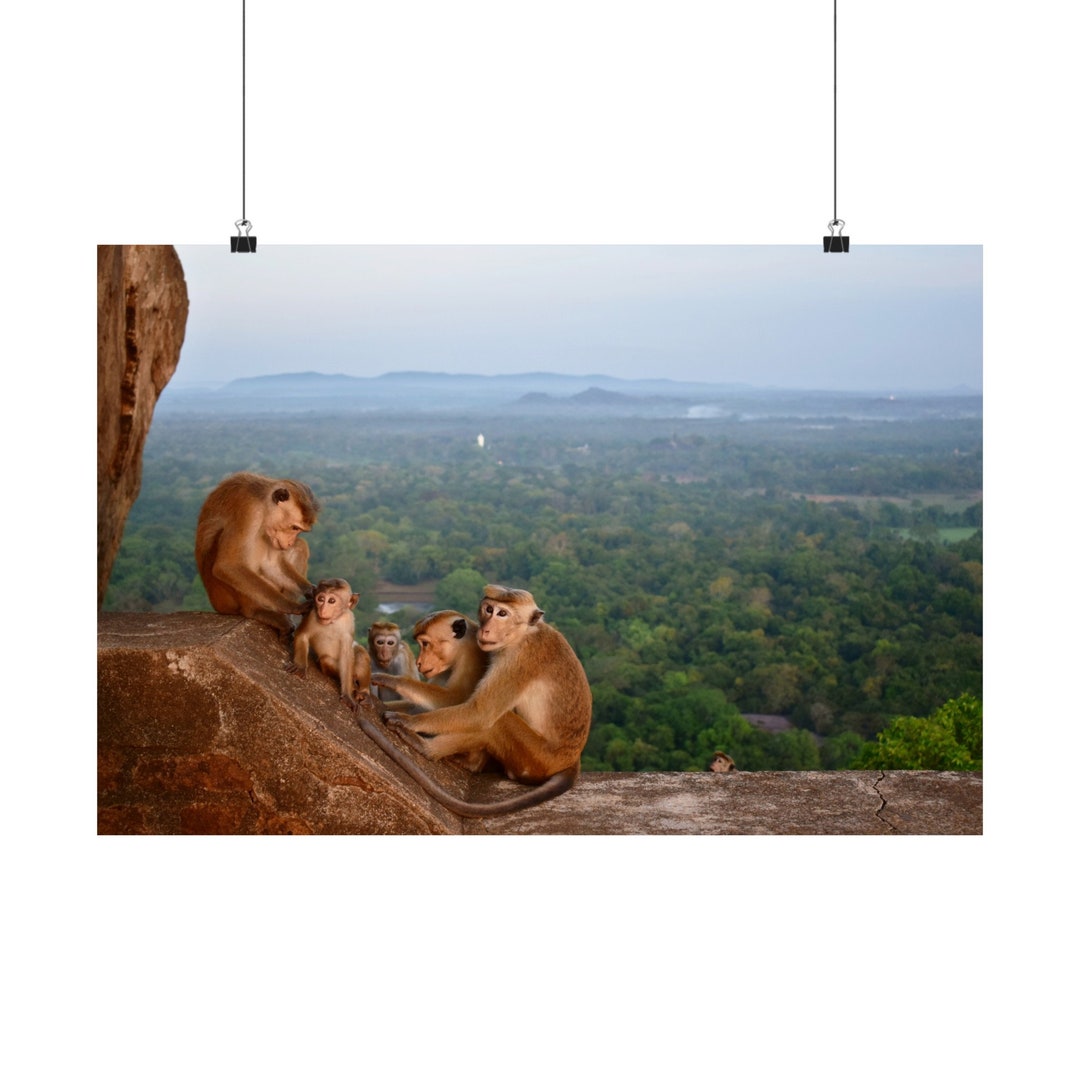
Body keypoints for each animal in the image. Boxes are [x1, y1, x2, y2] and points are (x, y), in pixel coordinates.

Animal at [195, 472, 320, 635]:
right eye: (294, 527)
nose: (290, 542)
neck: (262, 501)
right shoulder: (249, 510)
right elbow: (228, 566)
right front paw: (292, 606)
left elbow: (272, 565)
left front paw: (310, 589)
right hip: (223, 599)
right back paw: (255, 611)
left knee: (299, 546)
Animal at [287, 577, 359, 708]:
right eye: (320, 599)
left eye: (331, 601)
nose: (322, 610)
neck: (332, 621)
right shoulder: (312, 614)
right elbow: (302, 634)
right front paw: (300, 666)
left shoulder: (349, 622)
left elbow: (346, 655)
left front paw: (347, 695)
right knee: (326, 659)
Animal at [357, 586, 592, 818]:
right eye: (488, 609)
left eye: (425, 643)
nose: (419, 662)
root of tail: (571, 761)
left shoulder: (512, 659)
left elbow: (469, 706)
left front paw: (401, 703)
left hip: (536, 759)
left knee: (493, 721)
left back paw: (430, 749)